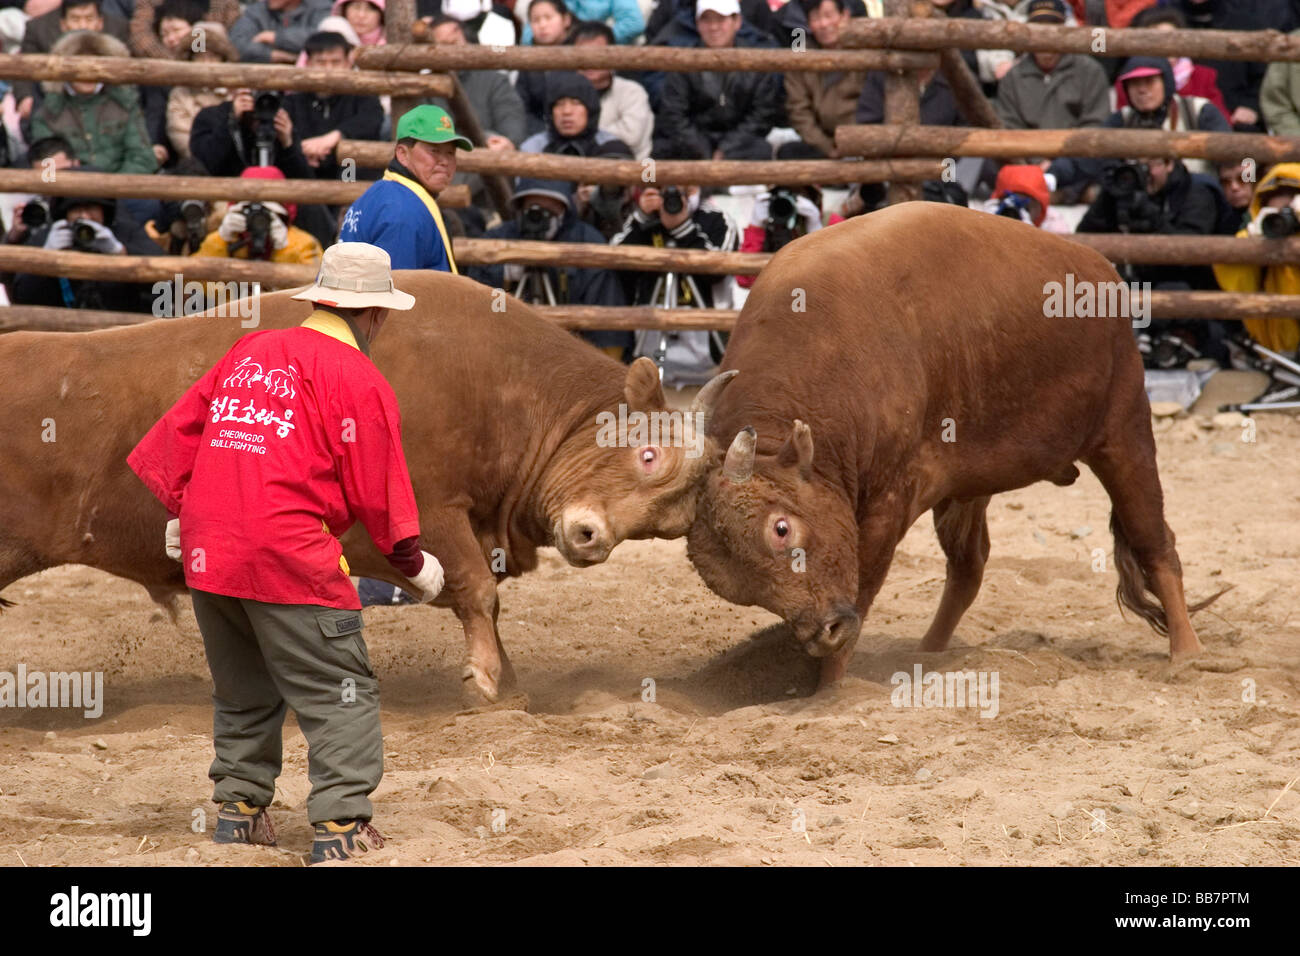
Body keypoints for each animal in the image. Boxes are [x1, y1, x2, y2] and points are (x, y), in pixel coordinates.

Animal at [0, 270, 737, 703]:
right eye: (647, 455)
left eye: (670, 523)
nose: (590, 538)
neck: (507, 388)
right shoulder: (424, 514)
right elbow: (476, 590)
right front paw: (486, 678)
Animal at [686, 202, 1222, 691]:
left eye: (782, 528)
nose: (824, 631)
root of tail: (1101, 270)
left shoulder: (887, 506)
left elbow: (863, 588)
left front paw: (829, 690)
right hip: (970, 484)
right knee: (968, 570)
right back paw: (927, 652)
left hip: (1124, 435)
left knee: (1155, 544)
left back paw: (1187, 653)